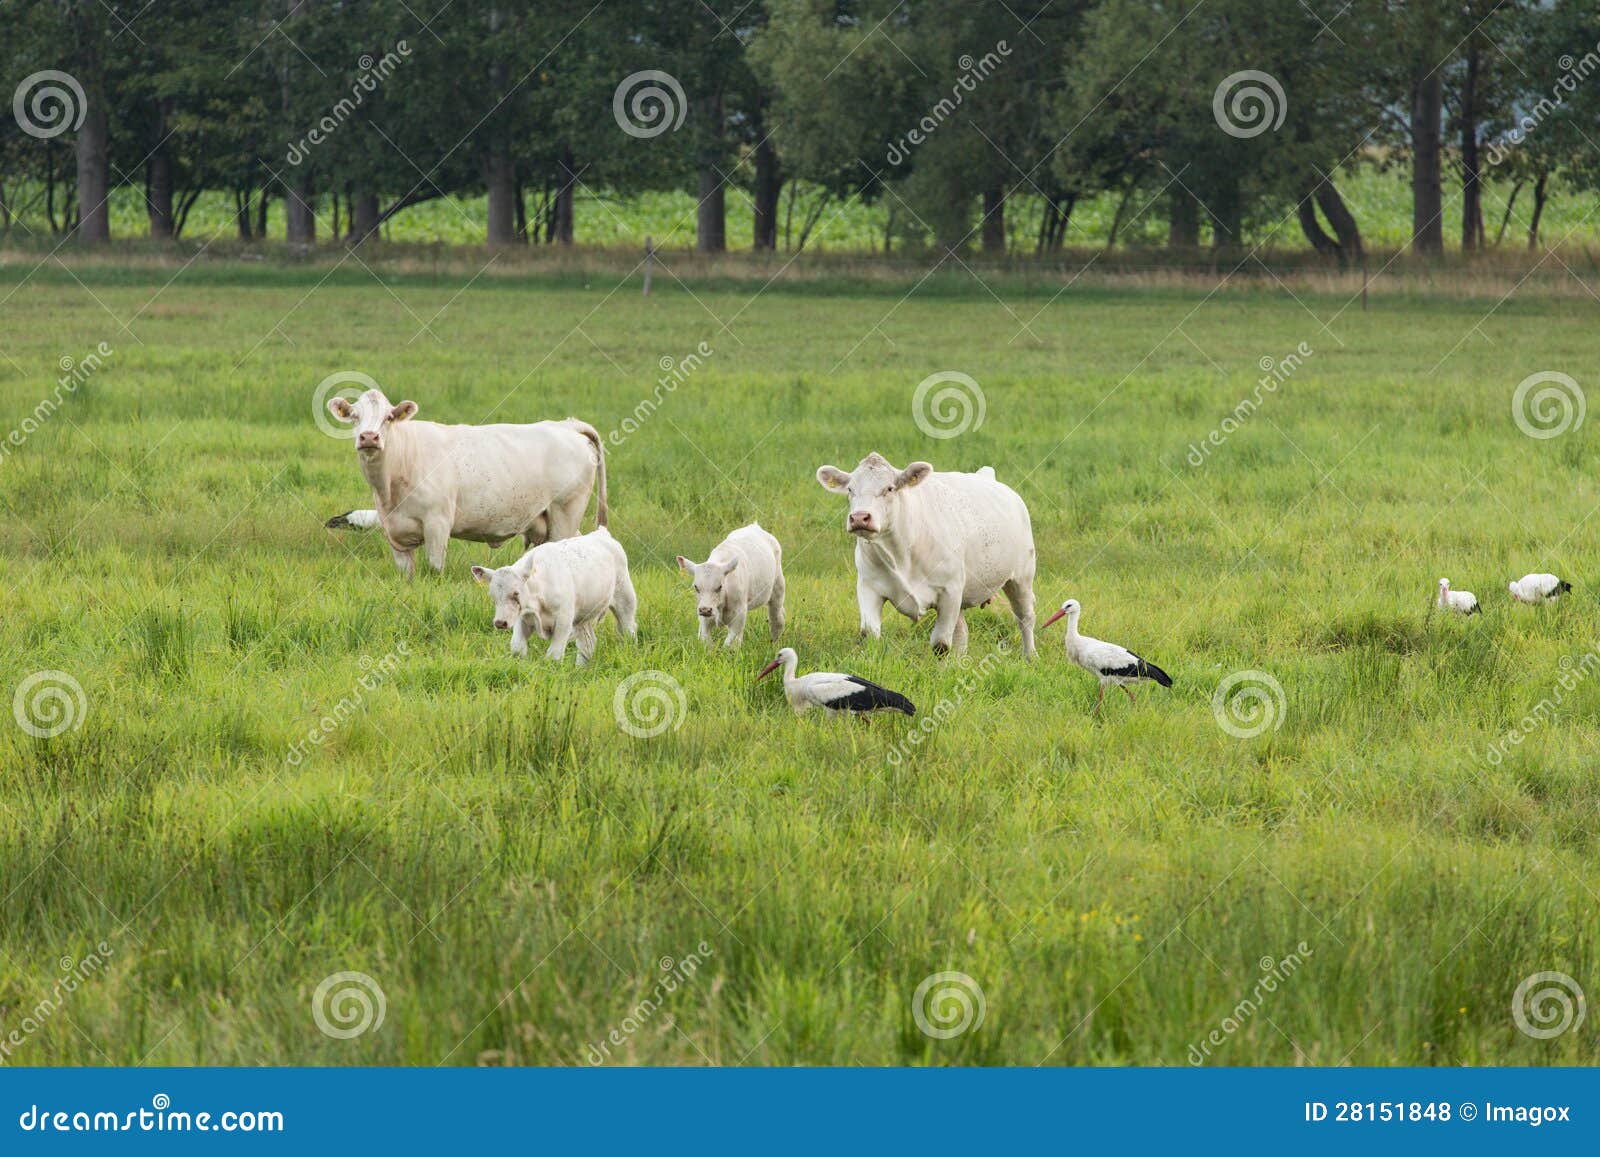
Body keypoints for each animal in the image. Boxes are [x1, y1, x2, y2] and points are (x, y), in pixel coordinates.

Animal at [324, 387, 606, 579]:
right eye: (354, 416)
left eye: (388, 418)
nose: (369, 437)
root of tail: (566, 425)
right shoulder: (394, 533)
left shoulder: (437, 524)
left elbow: (435, 568)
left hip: (565, 512)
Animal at [472, 527, 637, 664]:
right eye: (493, 596)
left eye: (516, 593)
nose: (500, 623)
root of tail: (601, 533)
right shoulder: (523, 618)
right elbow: (517, 648)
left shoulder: (564, 620)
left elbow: (554, 655)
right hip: (583, 616)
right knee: (587, 643)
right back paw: (581, 668)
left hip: (625, 598)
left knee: (629, 630)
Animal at [815, 452, 1036, 658]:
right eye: (850, 490)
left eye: (889, 488)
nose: (860, 517)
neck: (901, 553)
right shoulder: (868, 587)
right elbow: (869, 634)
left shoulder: (950, 591)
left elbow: (941, 644)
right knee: (962, 631)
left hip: (1022, 577)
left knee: (1025, 617)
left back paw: (1030, 656)